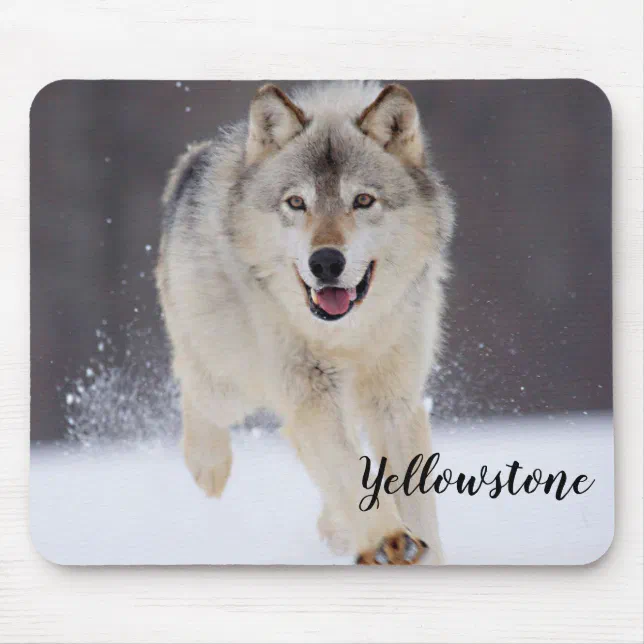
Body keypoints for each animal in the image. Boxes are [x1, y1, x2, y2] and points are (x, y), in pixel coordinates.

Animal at [156, 81, 455, 565]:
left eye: (363, 200)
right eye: (296, 202)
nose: (326, 262)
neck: (346, 336)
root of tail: (193, 161)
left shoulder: (394, 399)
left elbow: (408, 493)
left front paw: (419, 550)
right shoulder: (310, 391)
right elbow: (347, 471)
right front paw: (388, 540)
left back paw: (335, 529)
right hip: (231, 381)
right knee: (194, 387)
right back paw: (209, 466)